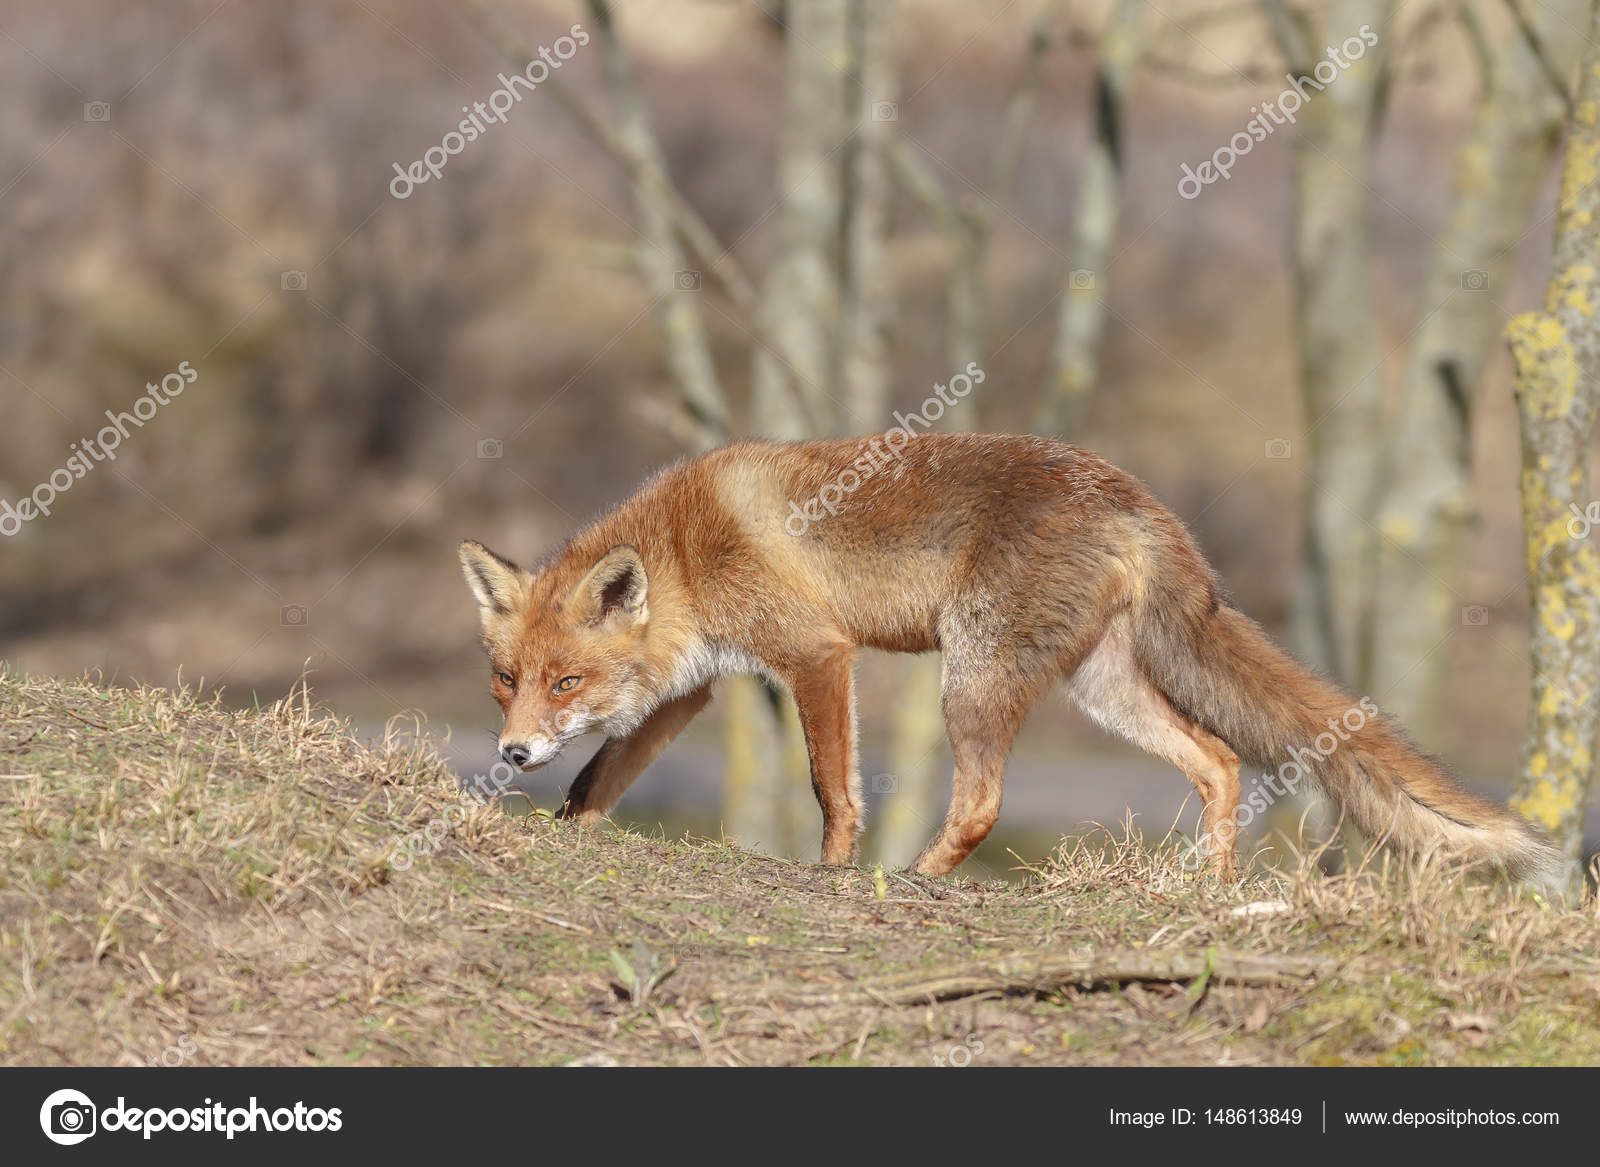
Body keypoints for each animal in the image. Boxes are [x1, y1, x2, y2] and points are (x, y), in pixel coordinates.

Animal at [458, 432, 1558, 885]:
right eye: (506, 682)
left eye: (566, 681)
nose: (508, 753)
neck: (687, 554)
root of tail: (1137, 498)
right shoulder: (698, 686)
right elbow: (605, 775)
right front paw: (568, 826)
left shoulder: (816, 651)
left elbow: (832, 788)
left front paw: (833, 869)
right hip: (1104, 690)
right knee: (1219, 762)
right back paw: (1209, 886)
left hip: (972, 679)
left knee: (984, 804)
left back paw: (915, 877)